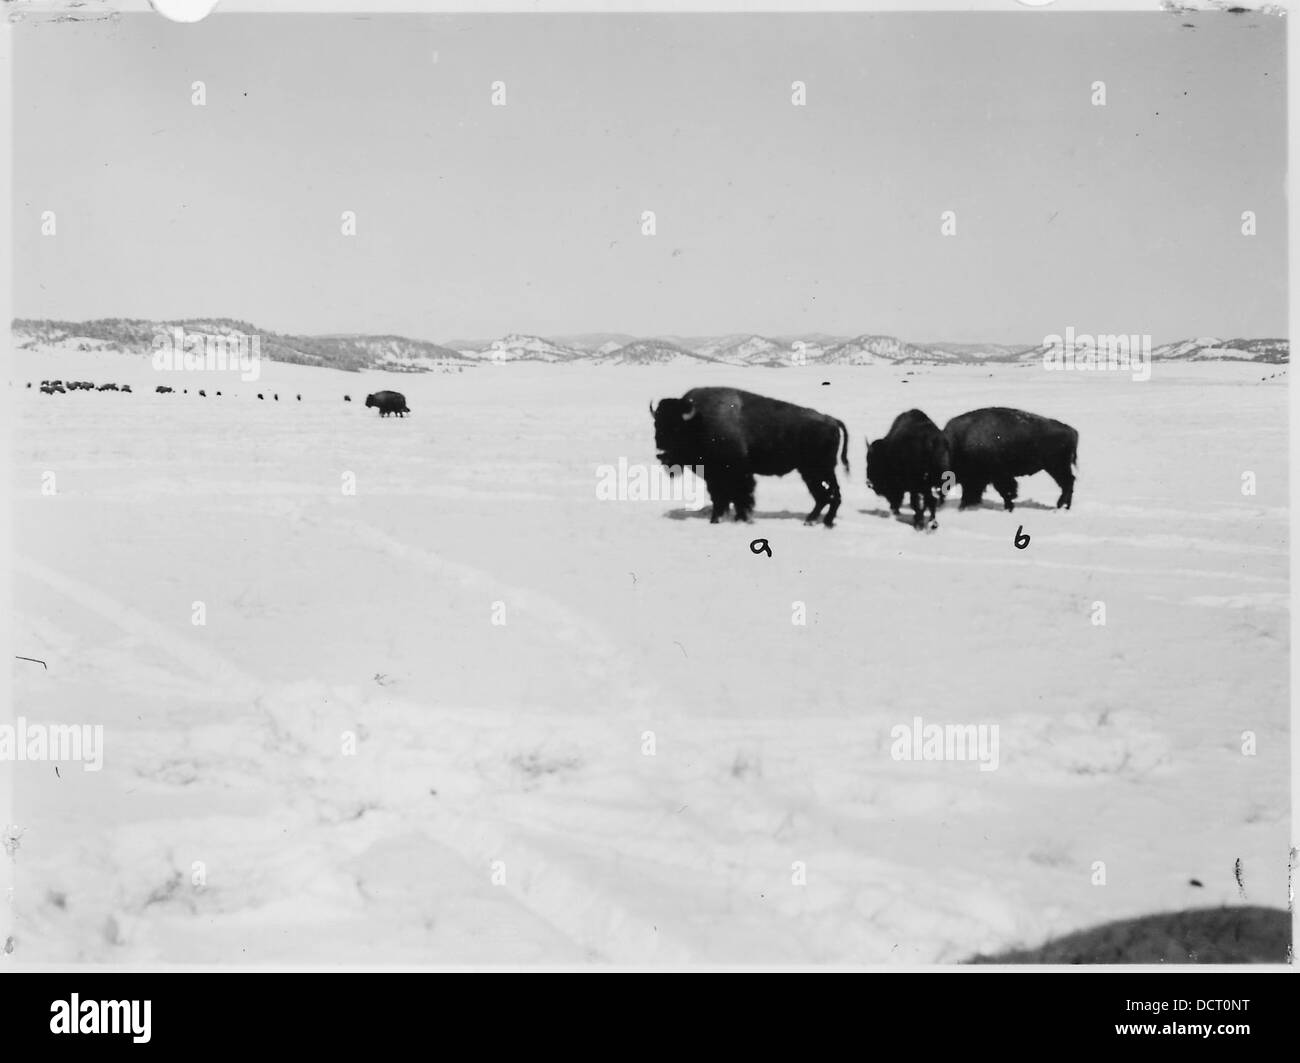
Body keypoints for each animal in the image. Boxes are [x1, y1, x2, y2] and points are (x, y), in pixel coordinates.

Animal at [650, 387, 849, 526]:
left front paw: (732, 519)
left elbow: (737, 497)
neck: (699, 422)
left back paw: (818, 521)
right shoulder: (715, 477)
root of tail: (831, 420)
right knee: (826, 496)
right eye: (656, 424)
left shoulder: (735, 474)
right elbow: (723, 498)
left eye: (676, 428)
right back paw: (817, 521)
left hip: (818, 470)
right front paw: (724, 518)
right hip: (812, 472)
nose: (660, 453)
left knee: (829, 495)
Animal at [943, 407, 1078, 511]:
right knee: (1069, 482)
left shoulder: (998, 476)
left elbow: (1006, 492)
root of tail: (1071, 431)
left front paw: (1009, 507)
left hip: (1056, 466)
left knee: (1067, 482)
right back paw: (1065, 507)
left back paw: (1060, 506)